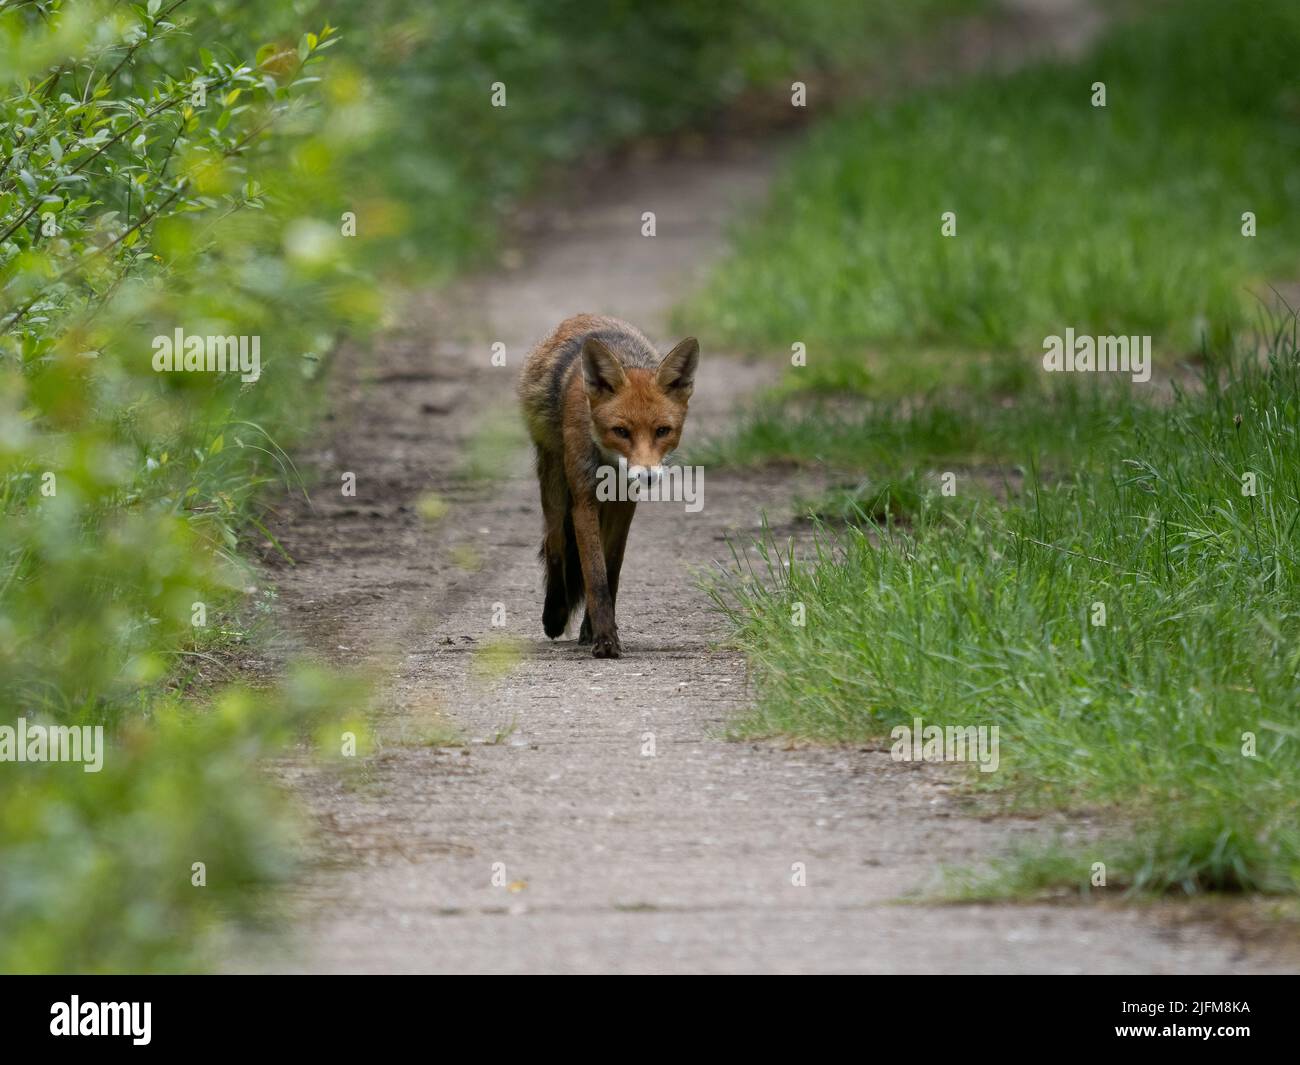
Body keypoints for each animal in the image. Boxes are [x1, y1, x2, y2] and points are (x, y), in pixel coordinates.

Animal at [518, 314, 700, 658]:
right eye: (621, 431)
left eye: (662, 430)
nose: (646, 476)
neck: (609, 464)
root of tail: (582, 317)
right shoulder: (584, 499)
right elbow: (595, 574)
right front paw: (605, 640)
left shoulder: (624, 503)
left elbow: (610, 569)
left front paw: (598, 630)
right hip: (555, 486)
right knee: (554, 543)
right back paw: (555, 615)